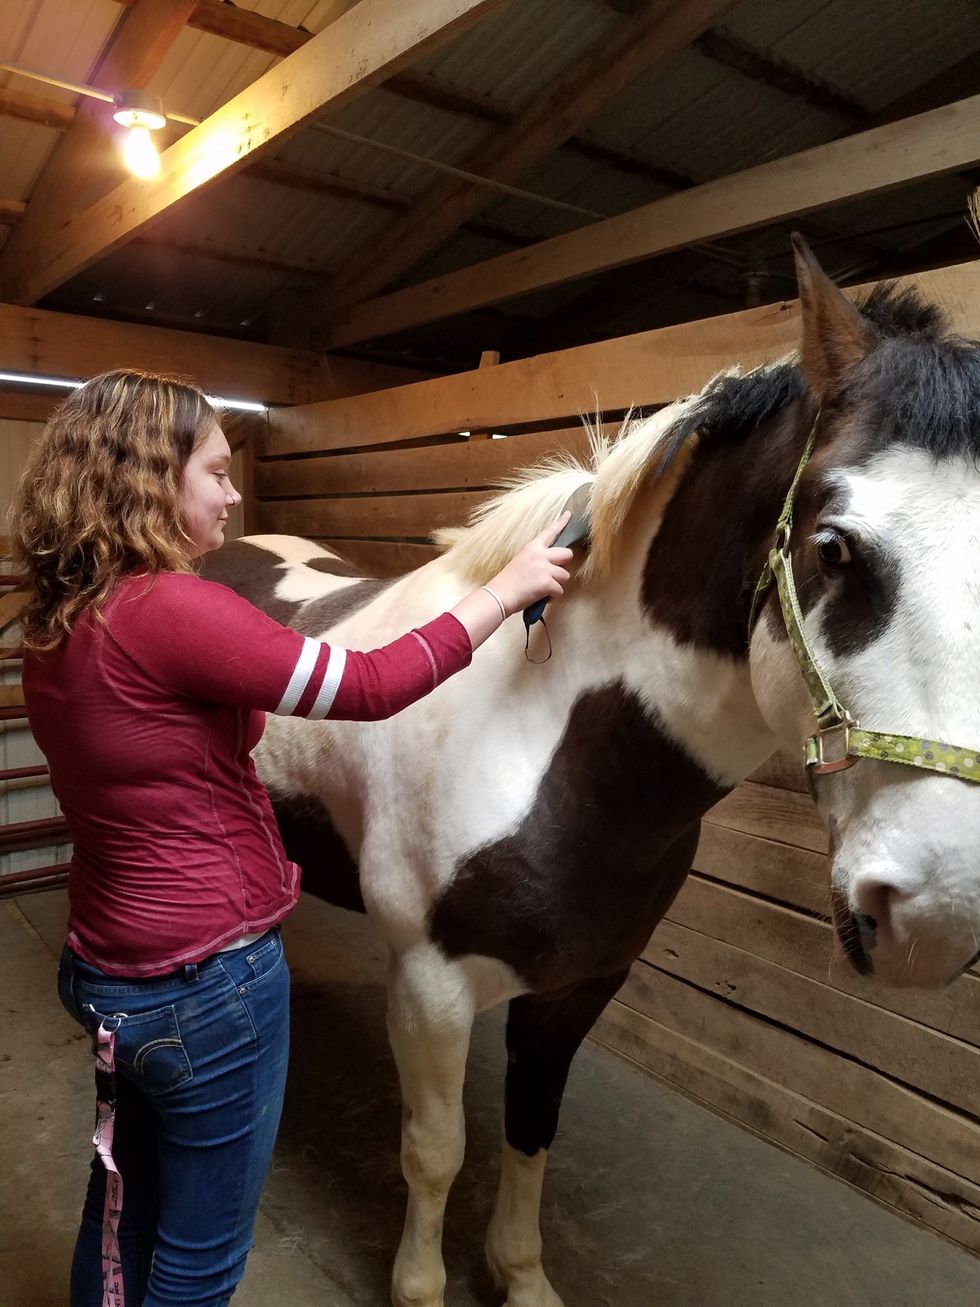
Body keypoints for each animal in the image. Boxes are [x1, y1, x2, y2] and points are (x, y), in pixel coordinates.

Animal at [202, 237, 980, 1307]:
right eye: (833, 546)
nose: (940, 911)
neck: (549, 745)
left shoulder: (581, 983)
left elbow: (532, 1131)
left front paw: (522, 1276)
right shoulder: (431, 986)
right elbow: (435, 1151)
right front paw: (421, 1285)